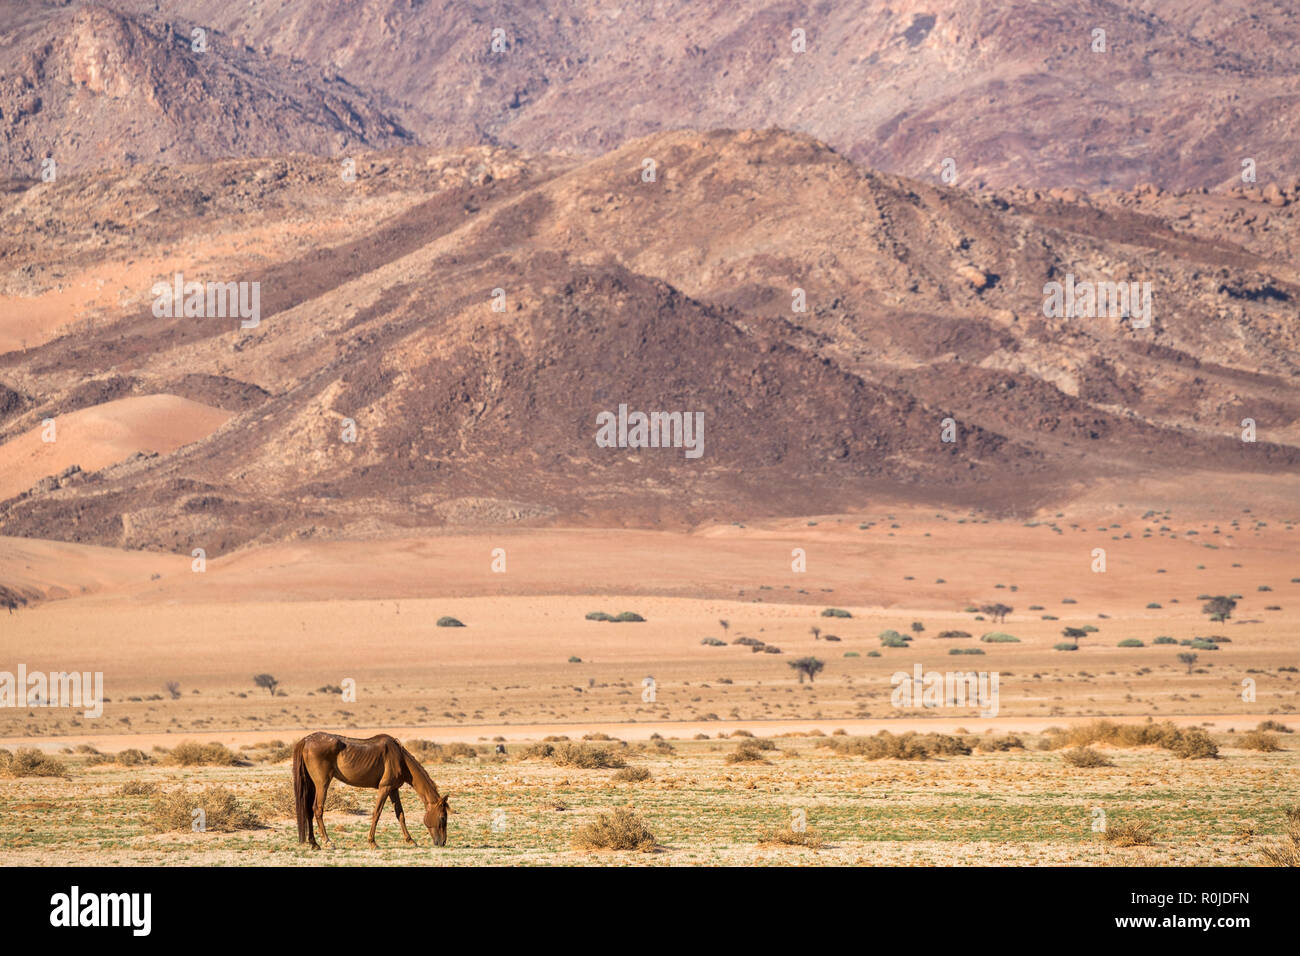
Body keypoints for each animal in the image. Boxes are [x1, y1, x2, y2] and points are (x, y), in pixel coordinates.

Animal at [292, 732, 454, 849]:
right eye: (442, 817)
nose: (442, 842)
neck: (400, 758)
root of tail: (306, 740)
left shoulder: (393, 789)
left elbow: (400, 815)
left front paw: (410, 840)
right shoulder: (385, 788)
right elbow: (377, 813)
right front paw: (372, 842)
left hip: (312, 784)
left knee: (308, 810)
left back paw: (314, 844)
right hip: (322, 784)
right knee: (317, 809)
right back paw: (328, 842)